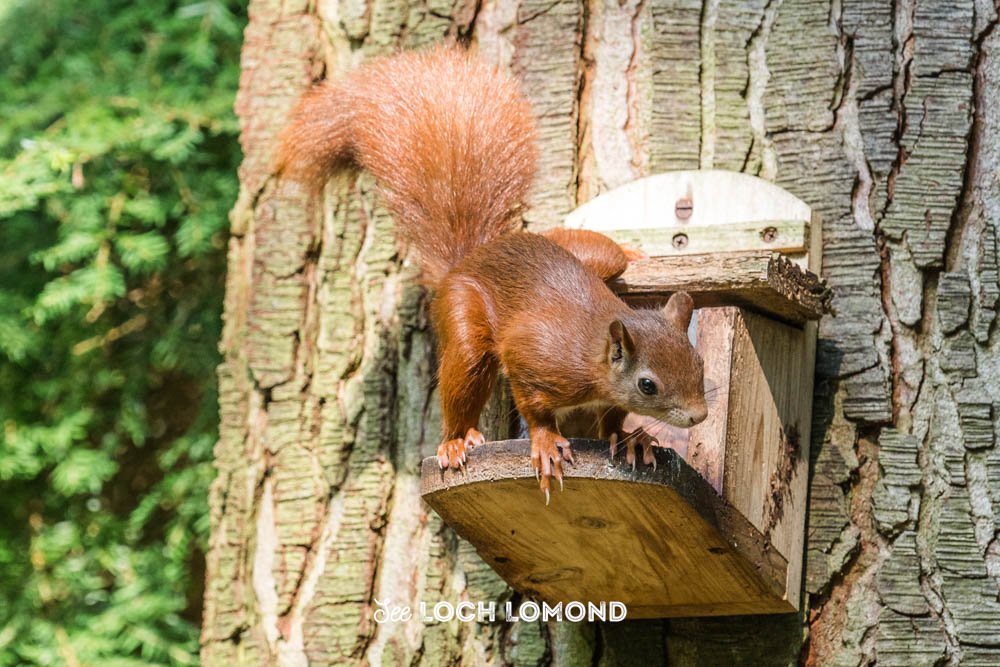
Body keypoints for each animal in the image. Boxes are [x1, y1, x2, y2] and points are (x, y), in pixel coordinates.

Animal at [275, 46, 708, 502]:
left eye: (699, 363)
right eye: (648, 385)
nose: (699, 415)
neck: (594, 353)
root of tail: (469, 259)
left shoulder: (604, 395)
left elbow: (610, 418)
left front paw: (630, 439)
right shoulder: (533, 354)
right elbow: (534, 406)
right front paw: (546, 442)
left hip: (594, 257)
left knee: (602, 252)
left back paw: (628, 250)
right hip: (464, 314)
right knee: (465, 368)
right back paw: (455, 440)